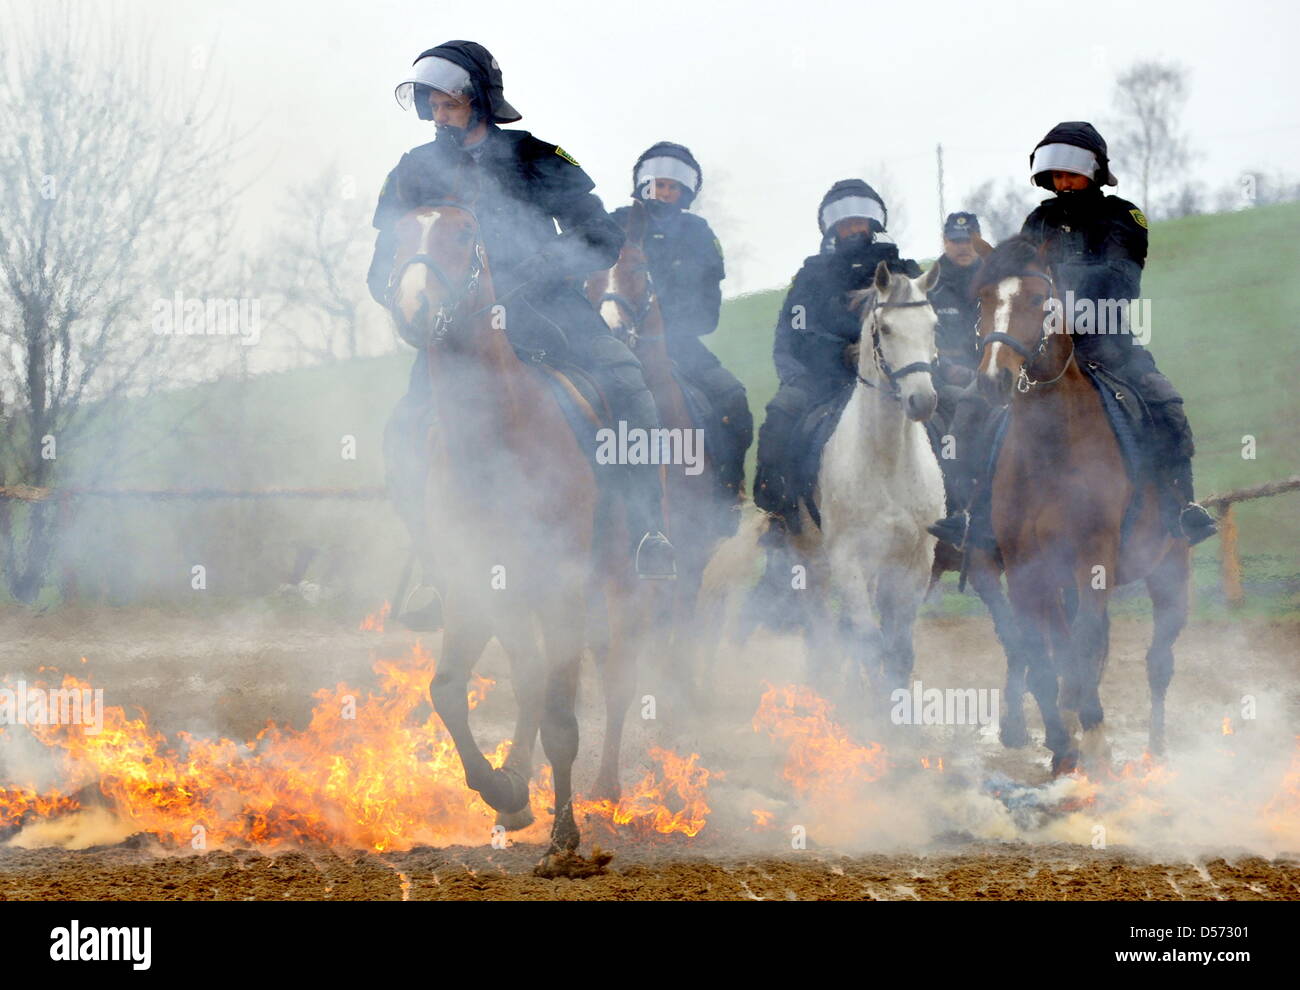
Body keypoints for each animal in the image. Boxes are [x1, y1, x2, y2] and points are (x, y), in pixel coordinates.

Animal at [388, 199, 643, 856]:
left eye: (462, 235)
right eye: (398, 236)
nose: (414, 307)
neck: (498, 437)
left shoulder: (563, 593)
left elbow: (562, 720)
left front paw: (564, 836)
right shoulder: (475, 588)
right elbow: (448, 690)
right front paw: (504, 789)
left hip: (620, 585)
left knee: (616, 678)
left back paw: (607, 788)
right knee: (528, 676)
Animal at [789, 260, 944, 702]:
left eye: (933, 324)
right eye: (886, 329)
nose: (922, 401)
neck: (887, 462)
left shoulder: (915, 558)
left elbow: (899, 646)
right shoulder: (846, 558)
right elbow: (868, 641)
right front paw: (872, 706)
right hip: (810, 558)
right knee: (822, 626)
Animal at [971, 234, 1190, 774]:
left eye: (1035, 298)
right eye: (983, 299)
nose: (993, 378)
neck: (1053, 444)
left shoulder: (1094, 560)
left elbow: (1083, 647)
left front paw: (1095, 740)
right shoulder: (1028, 568)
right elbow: (1044, 655)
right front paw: (1061, 742)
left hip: (1170, 571)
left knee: (1158, 661)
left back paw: (1154, 748)